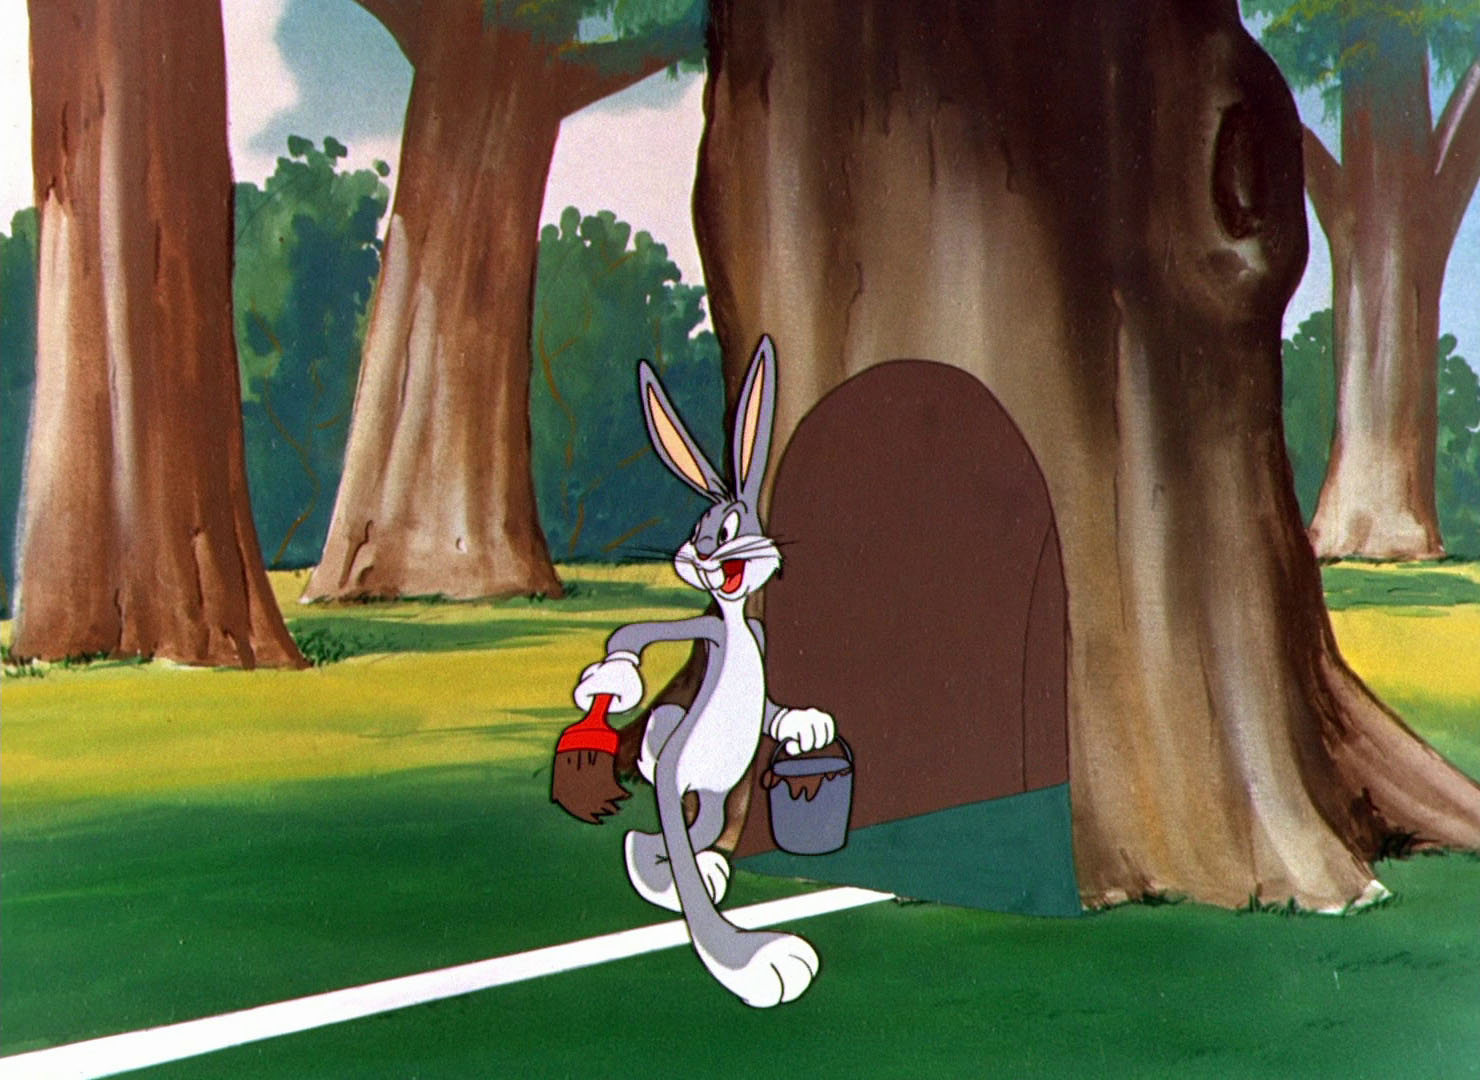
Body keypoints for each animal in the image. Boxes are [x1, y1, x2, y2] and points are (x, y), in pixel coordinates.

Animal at [572, 334, 836, 1008]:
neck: (738, 629)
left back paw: (674, 865)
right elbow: (632, 635)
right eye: (697, 531)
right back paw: (665, 867)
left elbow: (774, 707)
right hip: (677, 760)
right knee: (676, 815)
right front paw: (749, 959)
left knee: (706, 821)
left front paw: (805, 724)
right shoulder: (712, 632)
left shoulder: (754, 638)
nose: (702, 555)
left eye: (731, 527)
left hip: (714, 785)